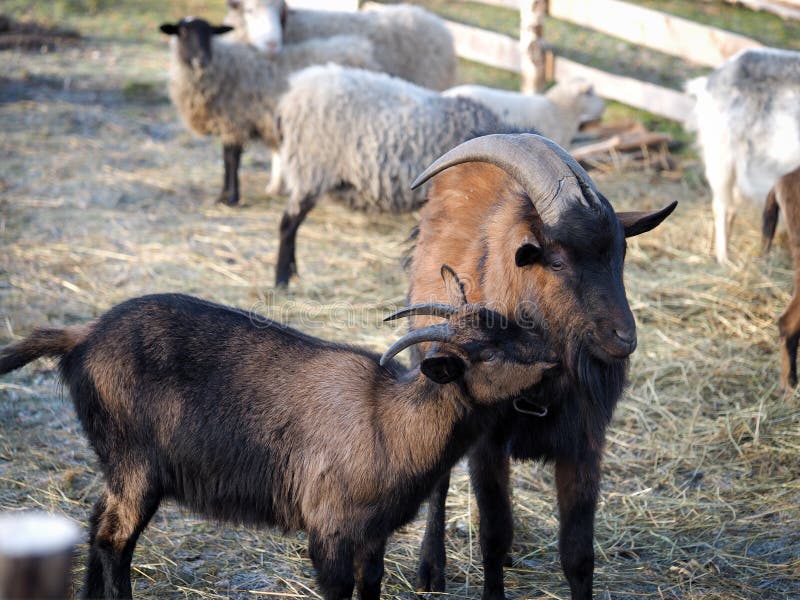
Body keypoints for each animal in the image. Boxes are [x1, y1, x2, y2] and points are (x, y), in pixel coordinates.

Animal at [0, 273, 555, 599]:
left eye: (505, 323)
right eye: (485, 350)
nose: (552, 356)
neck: (390, 421)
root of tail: (83, 335)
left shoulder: (372, 536)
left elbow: (371, 586)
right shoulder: (329, 532)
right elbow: (338, 590)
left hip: (119, 468)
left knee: (97, 523)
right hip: (136, 468)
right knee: (114, 539)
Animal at [405, 133, 676, 599]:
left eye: (620, 254)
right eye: (557, 261)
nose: (624, 339)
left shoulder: (585, 444)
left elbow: (578, 555)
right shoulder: (486, 444)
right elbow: (494, 534)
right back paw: (430, 569)